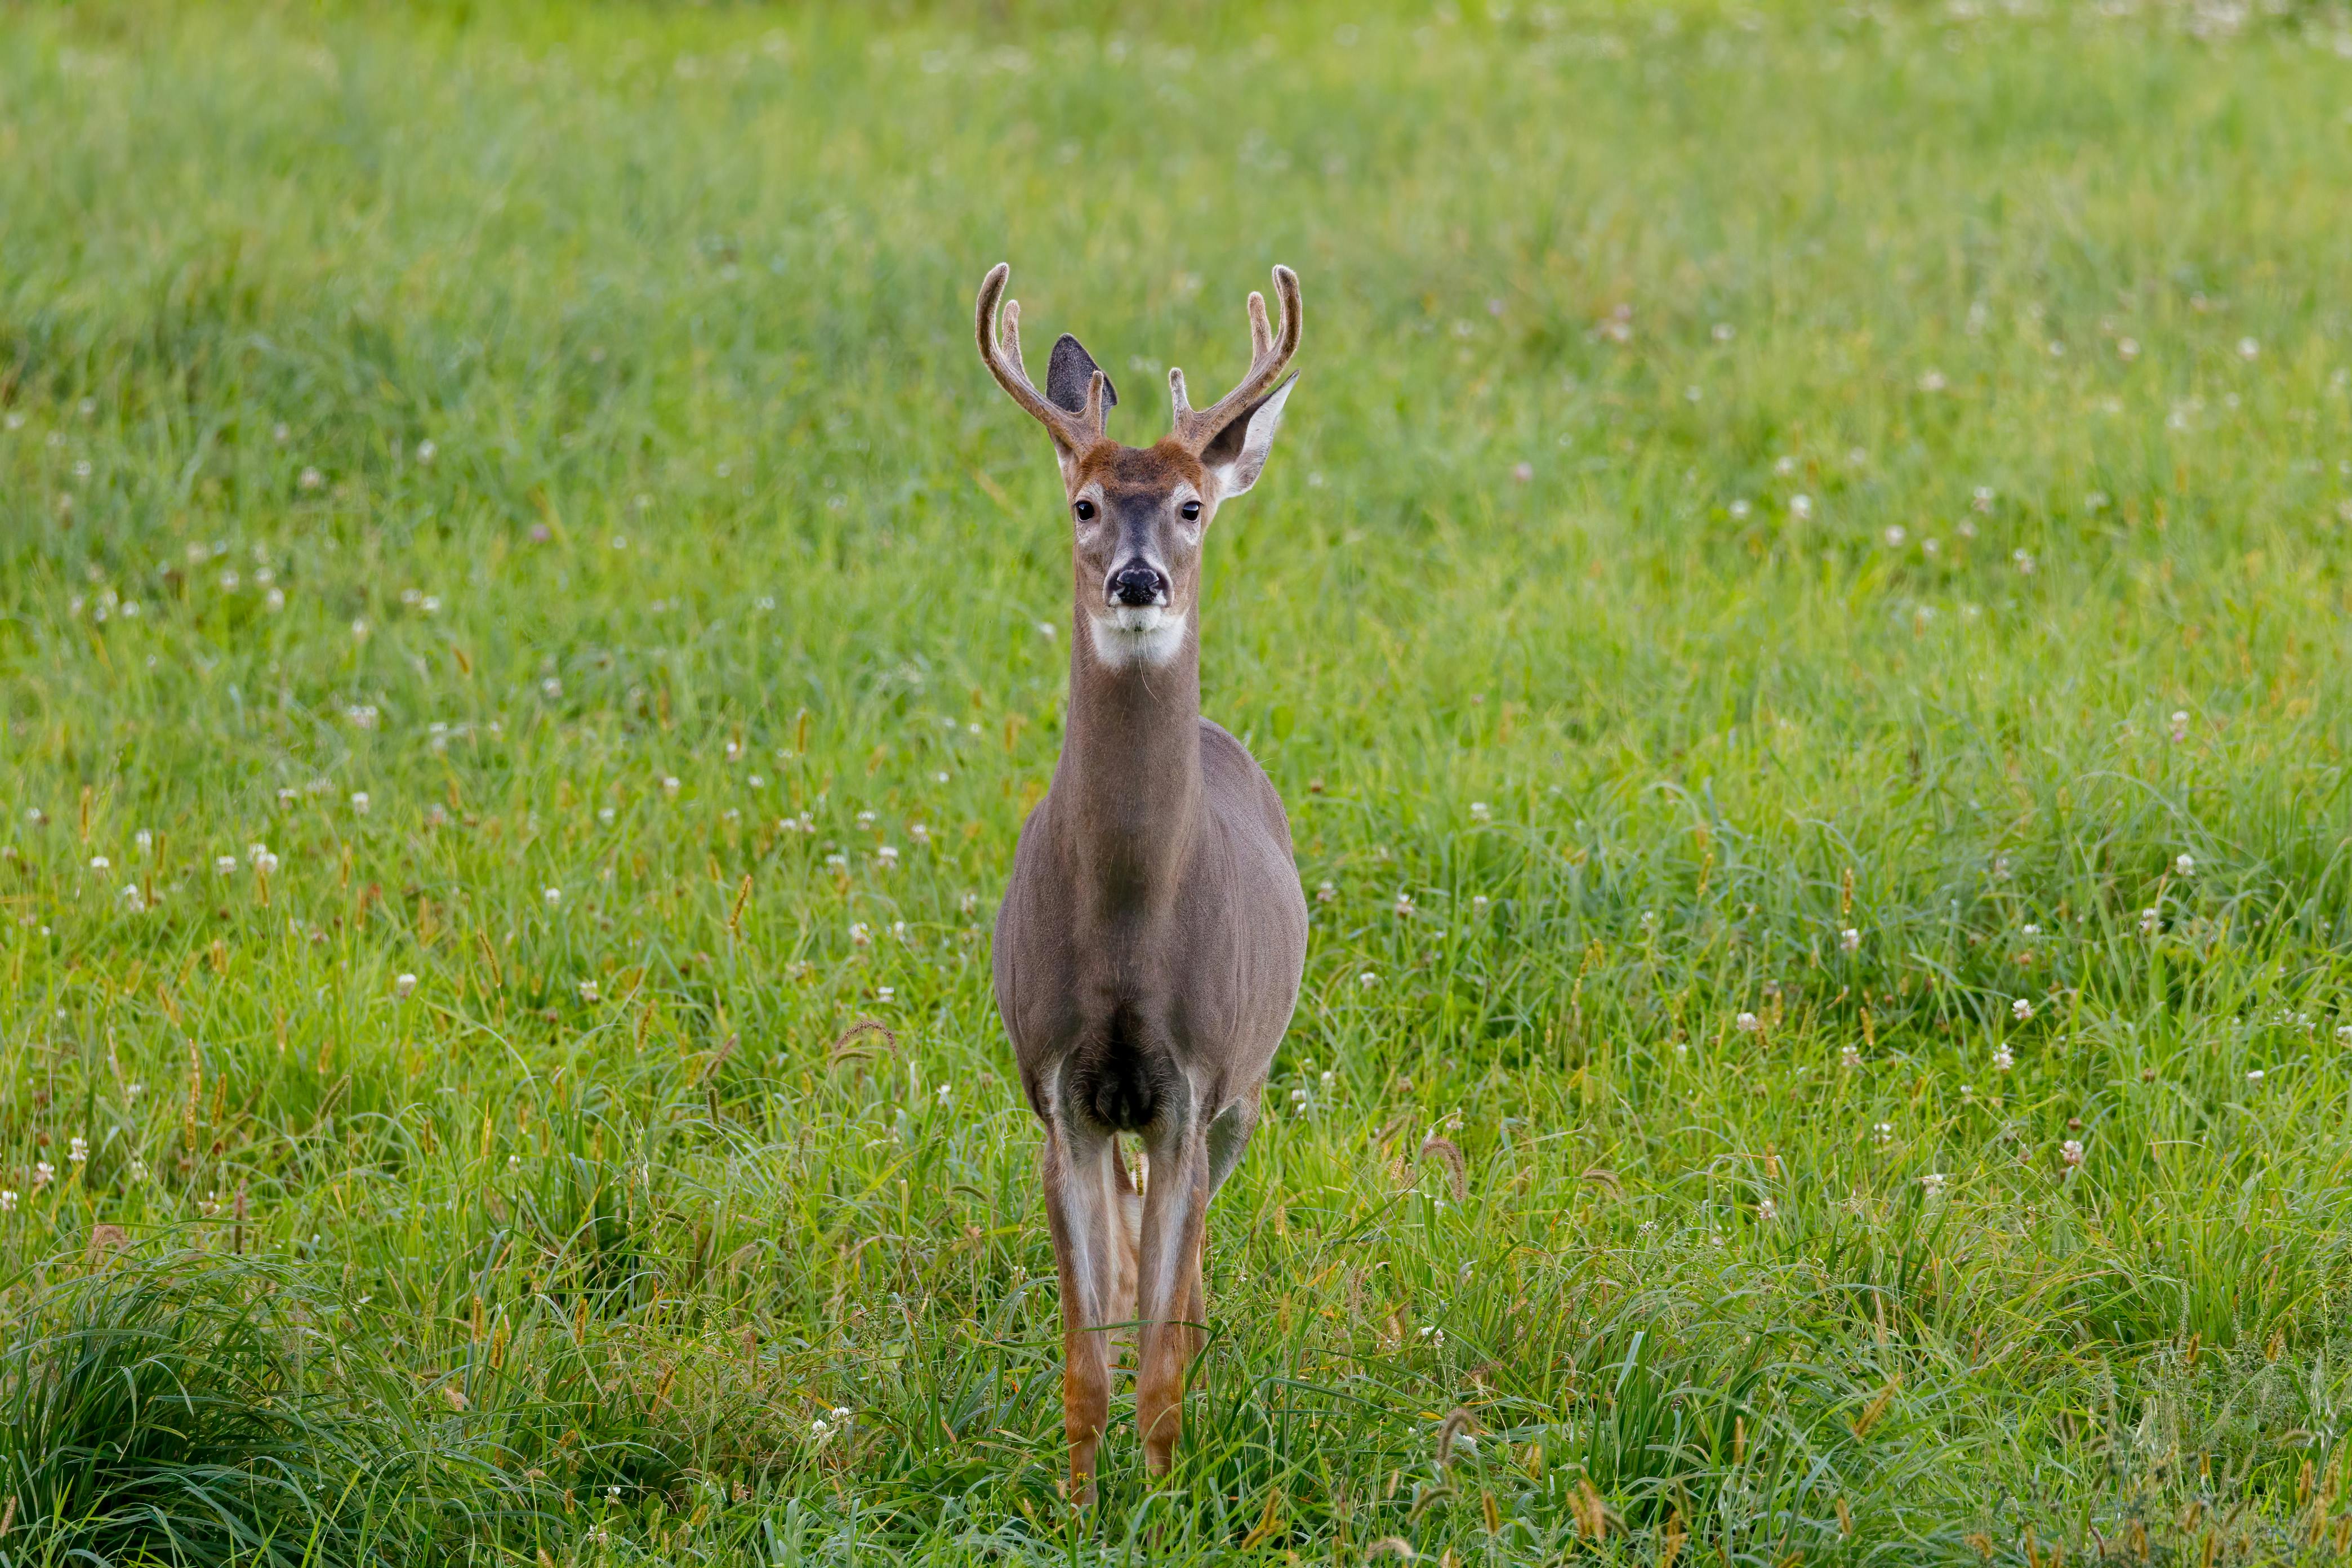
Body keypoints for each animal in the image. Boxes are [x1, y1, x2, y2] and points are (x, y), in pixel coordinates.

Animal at [976, 261, 1309, 1502]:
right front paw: (1076, 1508)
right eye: (1082, 504)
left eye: (1190, 506)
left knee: (1194, 1266)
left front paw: (1164, 1502)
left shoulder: (1193, 1084)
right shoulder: (1058, 1091)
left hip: (1249, 1088)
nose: (1136, 578)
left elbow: (1162, 1354)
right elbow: (1086, 1357)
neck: (1128, 932)